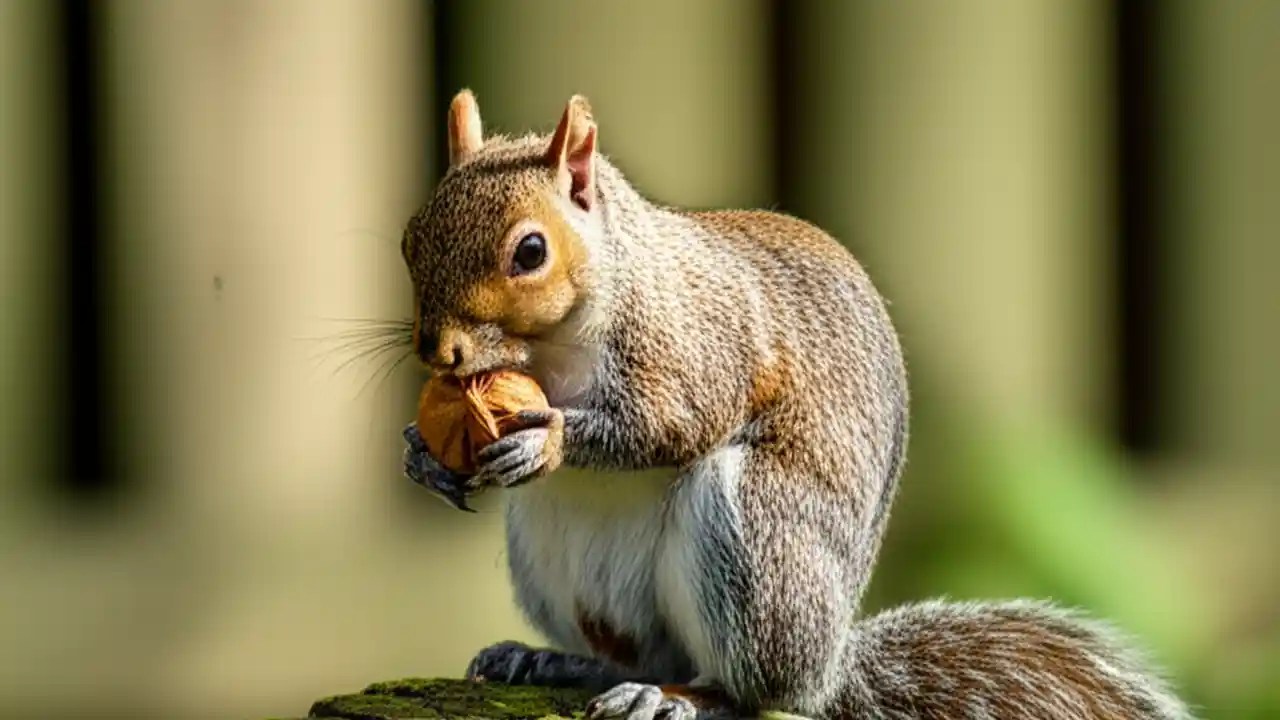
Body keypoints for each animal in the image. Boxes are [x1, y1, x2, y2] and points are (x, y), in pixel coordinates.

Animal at [399, 89, 1194, 720]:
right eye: (410, 238)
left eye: (530, 252)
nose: (439, 352)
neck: (550, 348)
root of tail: (828, 670)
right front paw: (421, 456)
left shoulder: (700, 339)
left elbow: (676, 421)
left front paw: (552, 438)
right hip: (548, 556)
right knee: (638, 655)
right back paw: (556, 660)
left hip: (756, 543)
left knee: (747, 689)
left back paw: (682, 698)